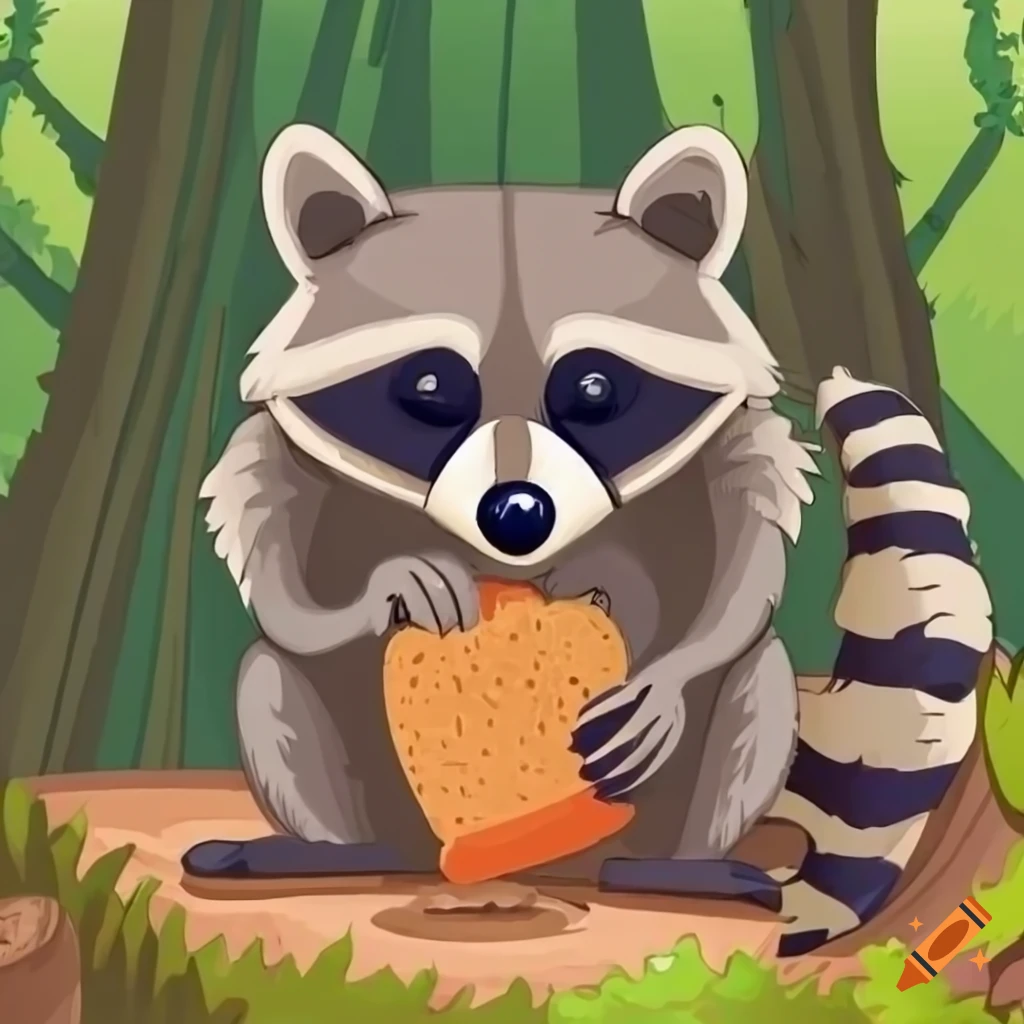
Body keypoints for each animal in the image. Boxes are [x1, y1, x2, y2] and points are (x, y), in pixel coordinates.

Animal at [184, 122, 994, 956]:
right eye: (429, 388)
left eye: (596, 388)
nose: (516, 512)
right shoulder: (274, 458)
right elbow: (286, 602)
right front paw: (386, 586)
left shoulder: (737, 447)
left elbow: (743, 584)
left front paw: (670, 678)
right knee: (269, 674)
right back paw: (336, 852)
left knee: (758, 678)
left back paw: (680, 869)